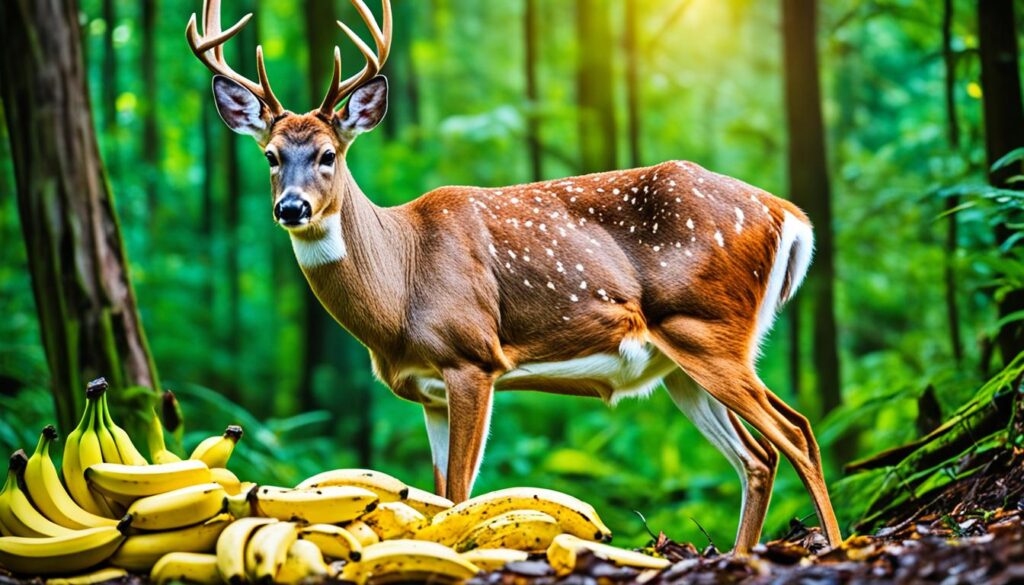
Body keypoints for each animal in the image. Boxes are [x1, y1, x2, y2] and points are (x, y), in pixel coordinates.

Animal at [185, 0, 842, 552]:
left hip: (709, 328)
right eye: (271, 155)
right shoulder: (426, 391)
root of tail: (790, 217)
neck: (401, 292)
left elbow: (459, 493)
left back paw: (834, 545)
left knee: (798, 432)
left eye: (328, 154)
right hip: (681, 362)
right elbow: (434, 491)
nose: (291, 207)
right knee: (758, 457)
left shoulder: (473, 355)